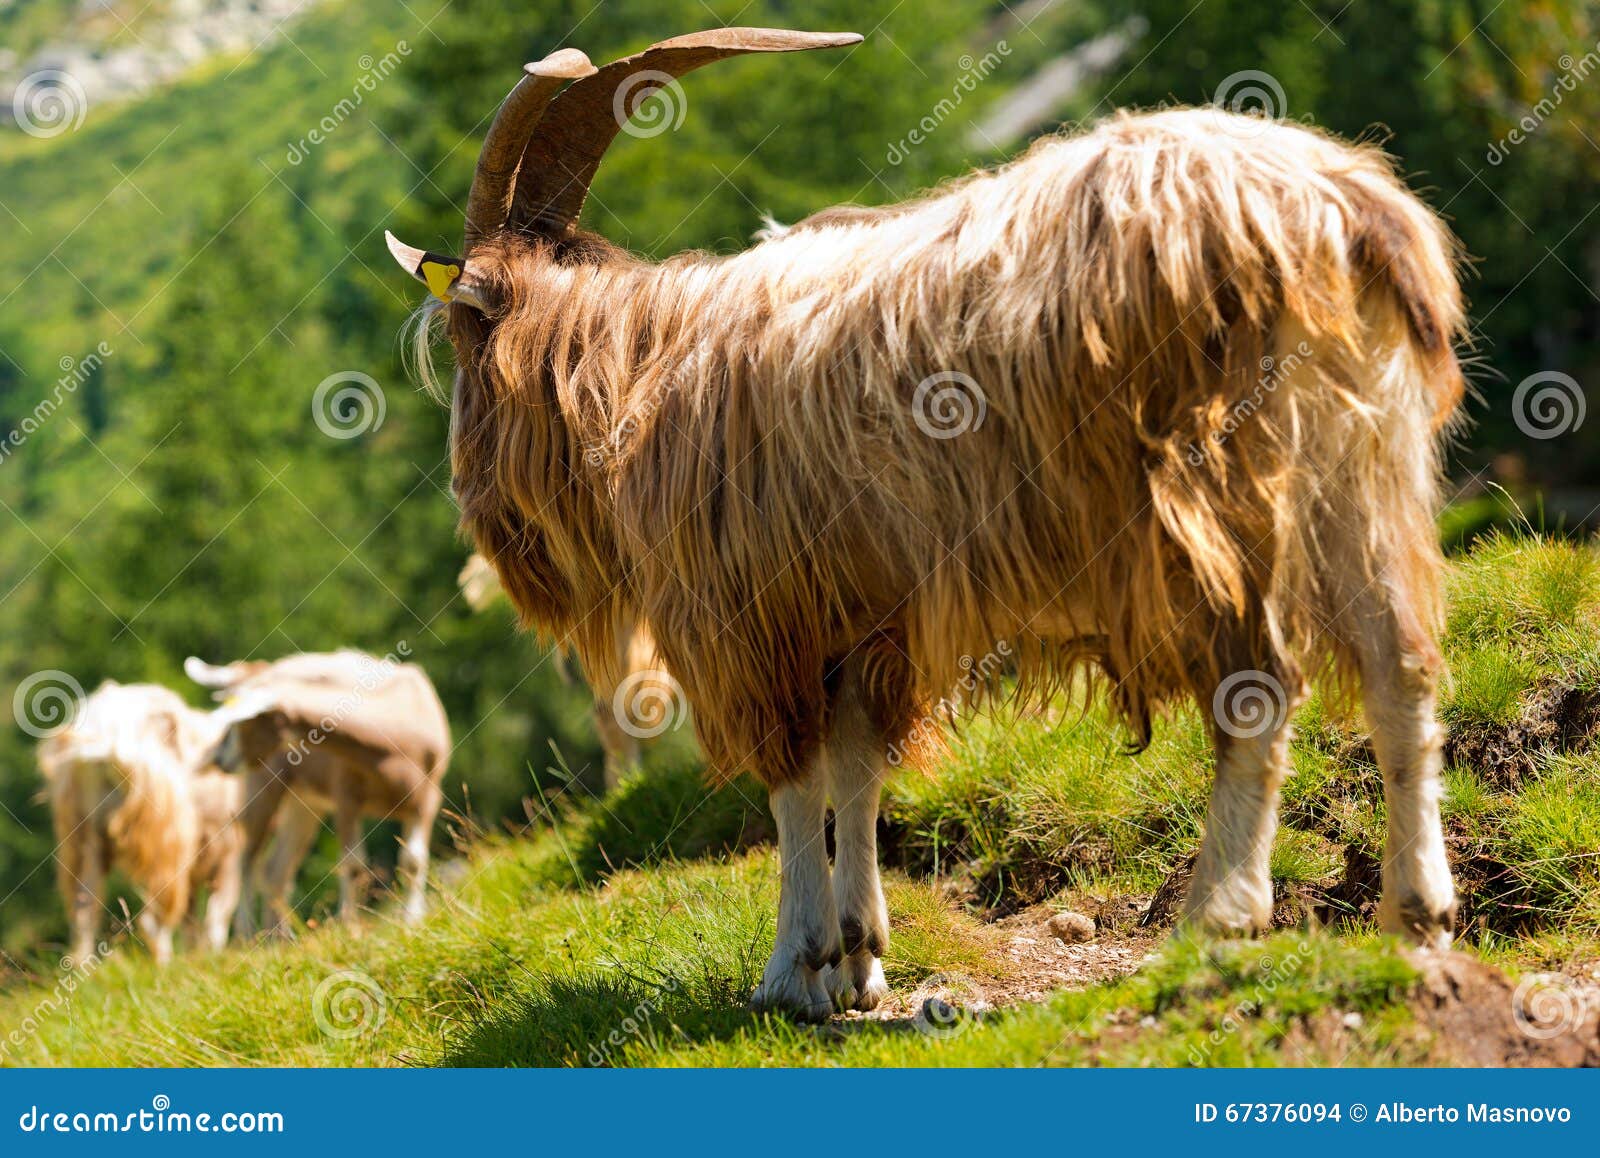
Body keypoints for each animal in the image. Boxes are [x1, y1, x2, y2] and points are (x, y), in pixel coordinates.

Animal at [39, 681, 242, 964]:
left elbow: (193, 918)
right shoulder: (226, 854)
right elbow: (217, 915)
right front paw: (210, 956)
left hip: (86, 838)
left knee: (84, 910)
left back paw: (81, 967)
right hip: (164, 846)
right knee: (153, 919)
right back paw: (164, 964)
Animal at [185, 650, 450, 934]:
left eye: (243, 721)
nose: (221, 757)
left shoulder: (427, 798)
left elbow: (413, 861)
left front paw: (413, 920)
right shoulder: (346, 796)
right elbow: (353, 864)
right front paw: (350, 927)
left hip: (303, 804)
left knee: (276, 868)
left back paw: (279, 937)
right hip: (262, 787)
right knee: (249, 859)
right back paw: (248, 934)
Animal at [386, 27, 1467, 1019]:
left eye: (464, 330)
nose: (469, 494)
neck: (641, 367)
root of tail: (1332, 211)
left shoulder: (753, 621)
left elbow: (792, 781)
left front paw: (792, 971)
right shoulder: (866, 619)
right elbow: (858, 769)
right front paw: (858, 959)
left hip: (1210, 496)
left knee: (1260, 685)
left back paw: (1219, 919)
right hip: (1362, 464)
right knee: (1400, 663)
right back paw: (1415, 914)